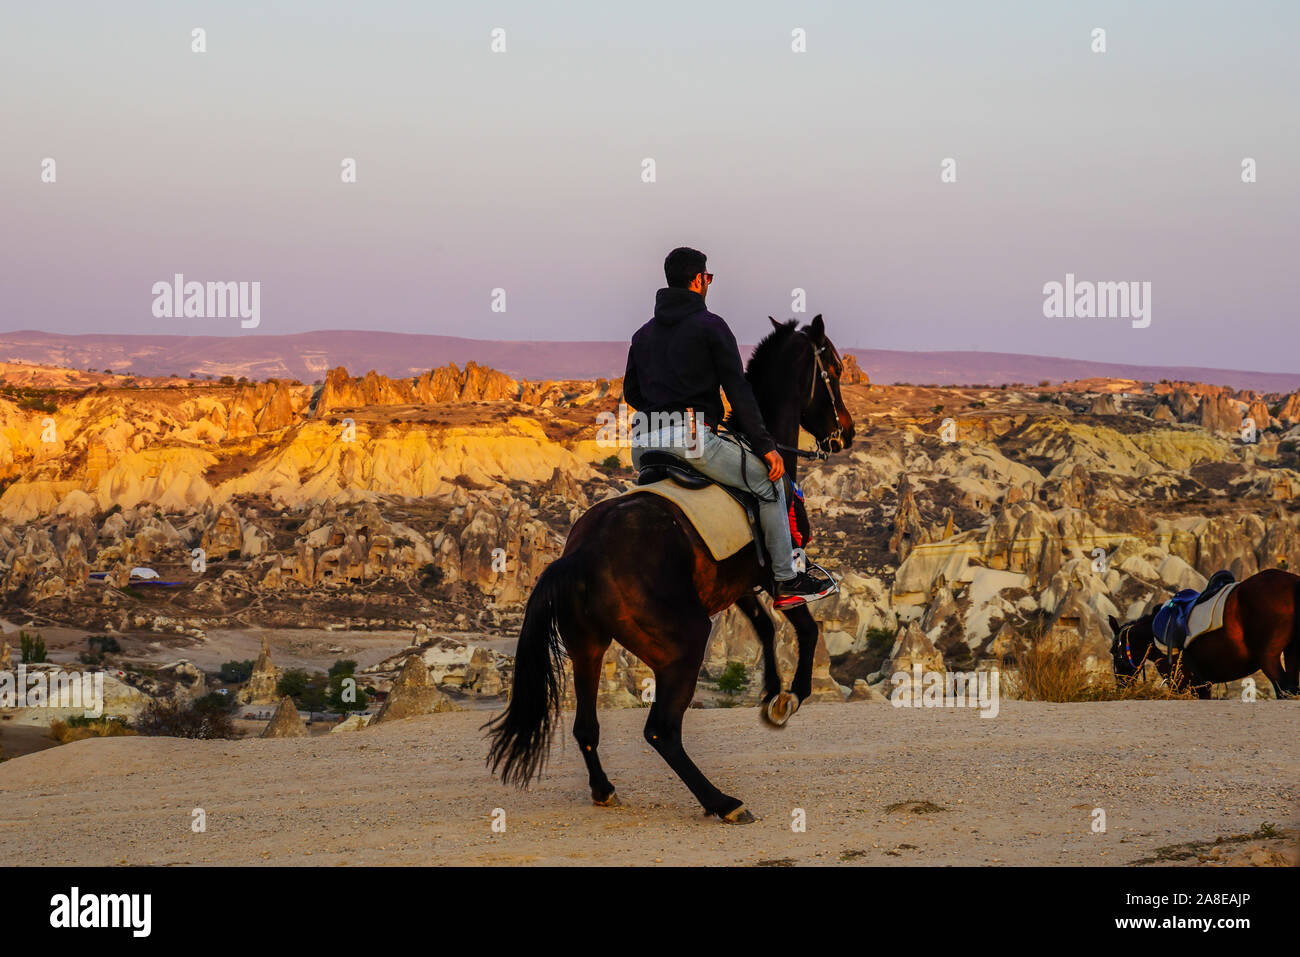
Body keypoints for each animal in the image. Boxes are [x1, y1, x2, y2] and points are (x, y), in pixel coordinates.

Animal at [485, 314, 855, 823]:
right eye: (834, 370)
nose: (848, 432)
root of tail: (579, 556)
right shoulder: (776, 572)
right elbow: (804, 625)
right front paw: (790, 697)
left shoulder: (738, 582)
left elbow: (763, 627)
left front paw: (770, 692)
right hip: (683, 644)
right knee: (662, 731)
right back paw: (723, 802)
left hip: (588, 646)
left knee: (586, 726)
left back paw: (604, 788)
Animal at [1109, 567, 1300, 699]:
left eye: (1113, 652)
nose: (1120, 685)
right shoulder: (1202, 685)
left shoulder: (1185, 686)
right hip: (1290, 653)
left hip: (1268, 658)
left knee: (1284, 690)